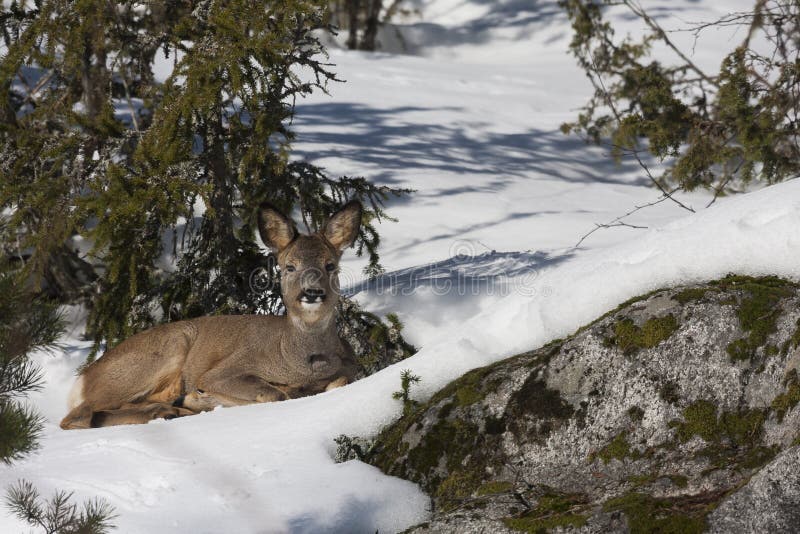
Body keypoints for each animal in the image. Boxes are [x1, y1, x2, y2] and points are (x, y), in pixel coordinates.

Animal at [60, 201, 362, 429]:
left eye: (330, 265)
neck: (302, 361)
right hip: (163, 352)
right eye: (290, 266)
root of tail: (81, 380)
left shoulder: (350, 370)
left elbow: (339, 381)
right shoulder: (223, 371)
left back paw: (171, 410)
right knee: (76, 417)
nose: (312, 292)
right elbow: (274, 392)